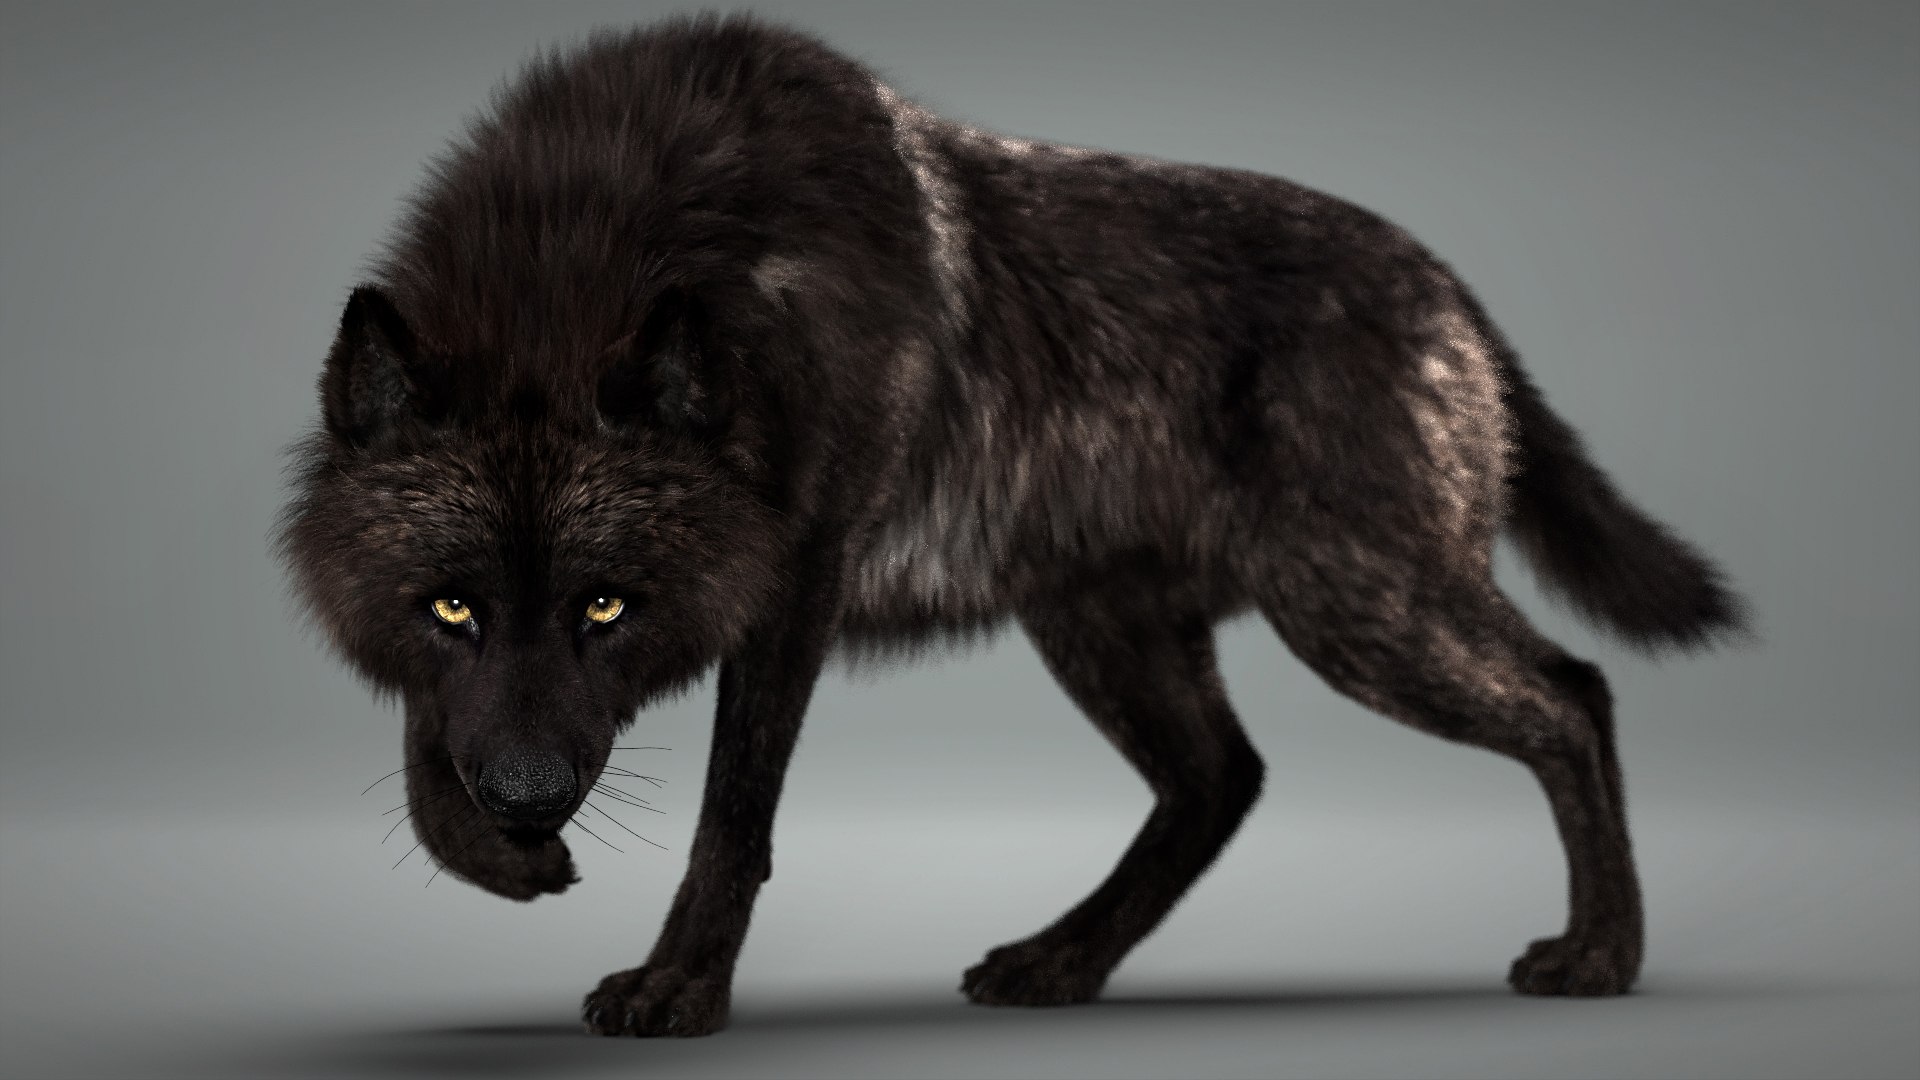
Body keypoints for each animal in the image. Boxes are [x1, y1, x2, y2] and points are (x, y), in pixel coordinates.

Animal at [276, 14, 1747, 1037]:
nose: (531, 799)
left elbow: (729, 817)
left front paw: (676, 986)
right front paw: (498, 855)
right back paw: (1060, 962)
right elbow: (428, 738)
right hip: (1106, 626)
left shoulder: (795, 585)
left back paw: (1600, 957)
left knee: (1570, 694)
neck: (595, 248)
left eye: (606, 606)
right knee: (1224, 778)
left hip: (1356, 613)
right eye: (452, 605)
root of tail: (1452, 286)